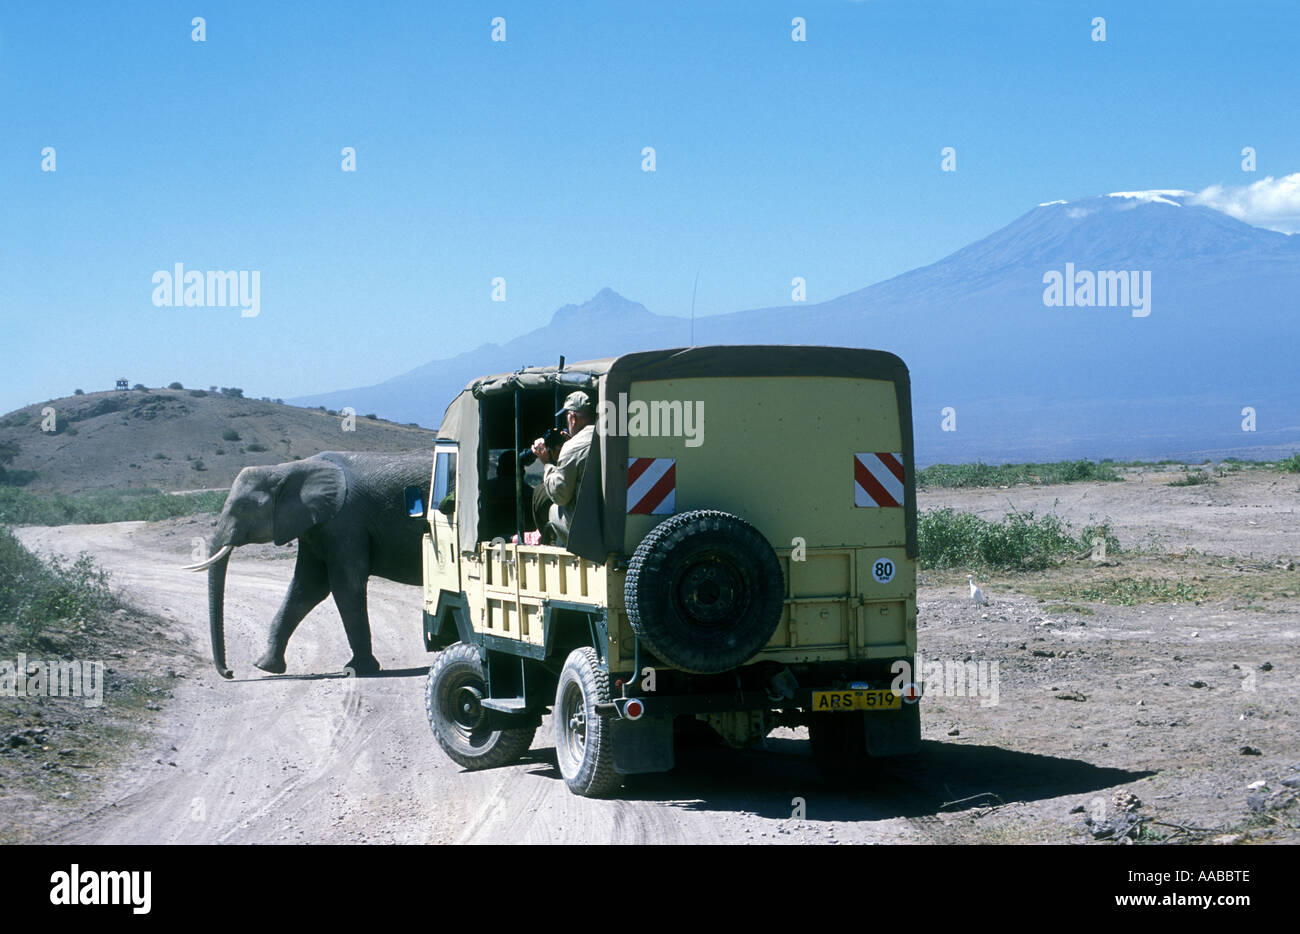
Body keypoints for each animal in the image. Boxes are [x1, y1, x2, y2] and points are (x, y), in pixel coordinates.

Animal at [185, 451, 432, 679]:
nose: (230, 672)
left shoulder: (345, 523)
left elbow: (346, 586)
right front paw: (265, 666)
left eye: (244, 506)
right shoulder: (313, 526)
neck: (287, 469)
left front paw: (358, 670)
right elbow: (307, 588)